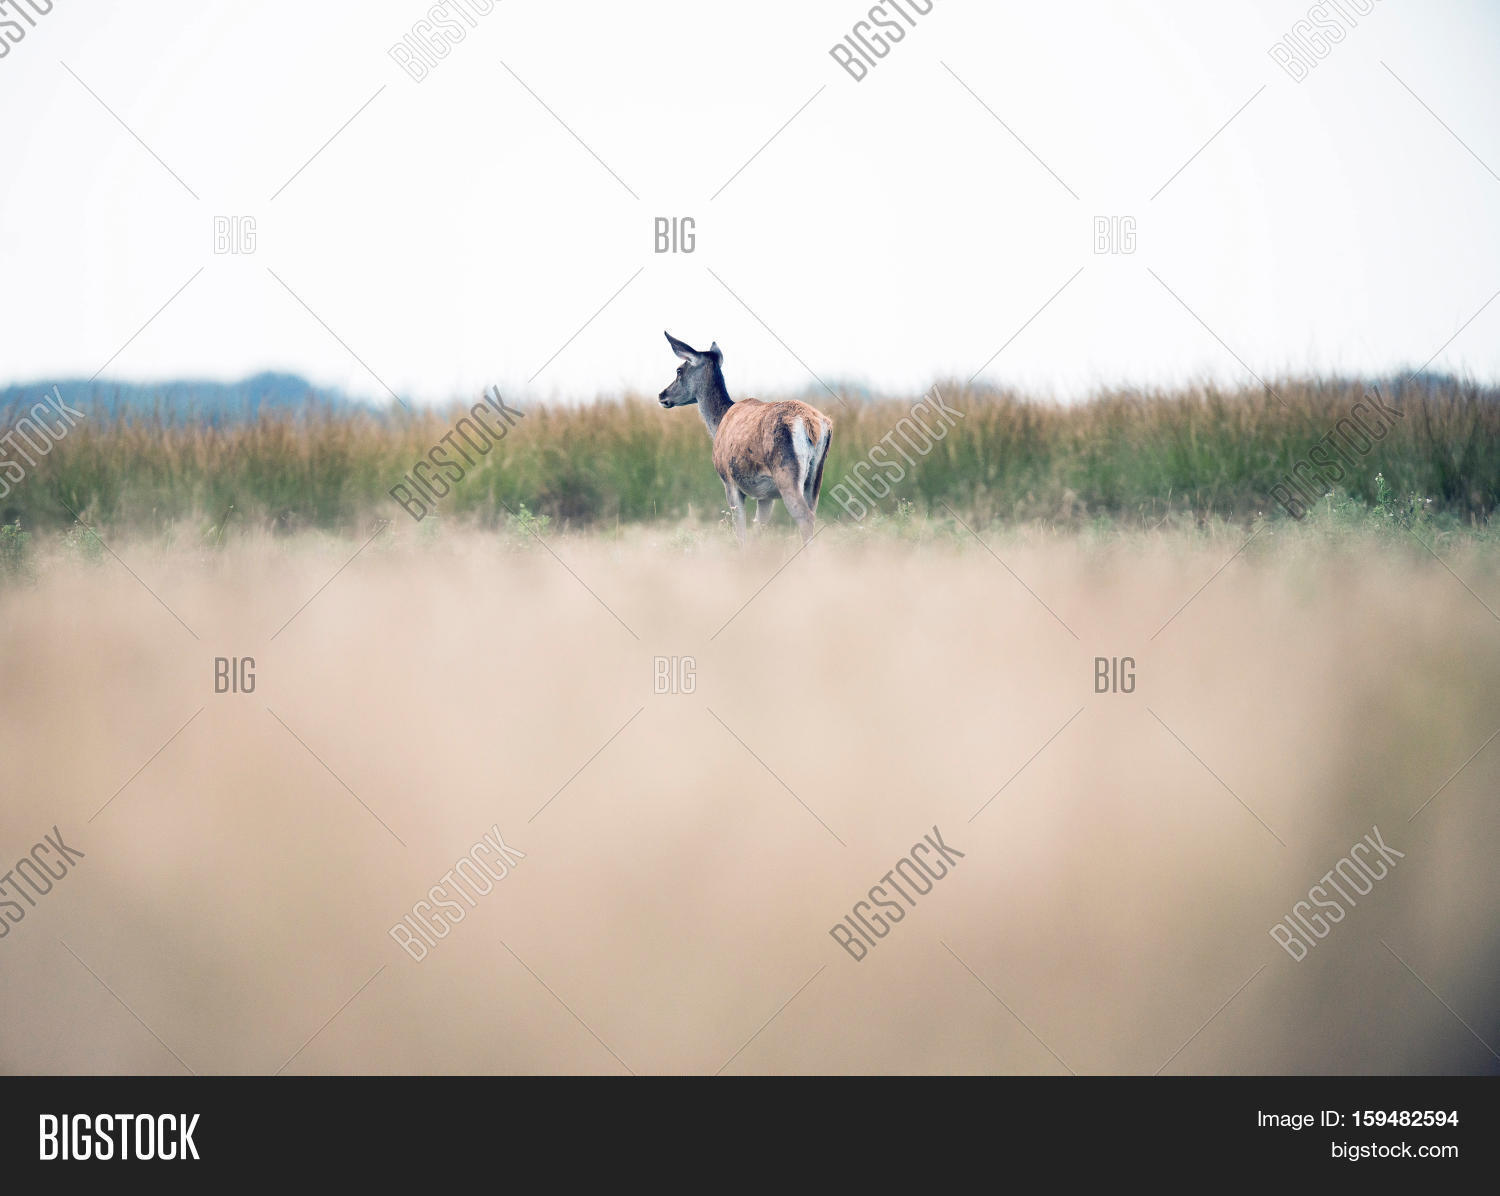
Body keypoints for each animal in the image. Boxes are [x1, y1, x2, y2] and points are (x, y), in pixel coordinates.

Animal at [657, 332, 832, 546]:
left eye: (679, 370)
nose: (662, 395)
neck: (718, 423)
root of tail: (812, 424)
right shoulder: (765, 495)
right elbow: (758, 530)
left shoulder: (728, 481)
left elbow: (741, 532)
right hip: (815, 477)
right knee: (813, 513)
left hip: (785, 470)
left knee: (804, 516)